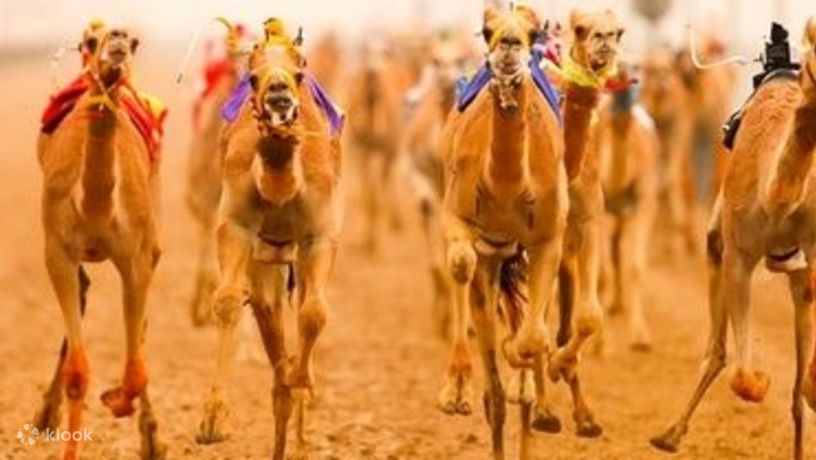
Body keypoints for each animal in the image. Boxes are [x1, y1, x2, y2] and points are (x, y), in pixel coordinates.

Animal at [34, 21, 164, 460]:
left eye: (135, 42)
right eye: (89, 41)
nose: (118, 40)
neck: (94, 208)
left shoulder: (137, 257)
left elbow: (138, 368)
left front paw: (118, 401)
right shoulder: (57, 252)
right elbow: (78, 371)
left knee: (141, 329)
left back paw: (150, 437)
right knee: (85, 287)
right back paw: (44, 415)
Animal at [195, 19, 343, 460]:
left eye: (300, 70)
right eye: (252, 76)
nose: (279, 93)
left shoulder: (320, 234)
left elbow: (314, 314)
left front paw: (305, 378)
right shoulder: (235, 224)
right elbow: (227, 301)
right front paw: (212, 421)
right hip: (266, 262)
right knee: (267, 318)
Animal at [435, 5, 568, 458]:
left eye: (533, 31)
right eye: (486, 28)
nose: (509, 45)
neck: (508, 186)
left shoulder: (548, 237)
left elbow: (532, 338)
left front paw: (525, 375)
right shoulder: (457, 216)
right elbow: (460, 262)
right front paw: (455, 390)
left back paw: (534, 398)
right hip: (492, 256)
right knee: (492, 396)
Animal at [651, 18, 816, 460]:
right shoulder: (739, 253)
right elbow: (741, 374)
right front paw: (762, 381)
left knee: (797, 392)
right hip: (722, 239)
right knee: (717, 351)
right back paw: (669, 434)